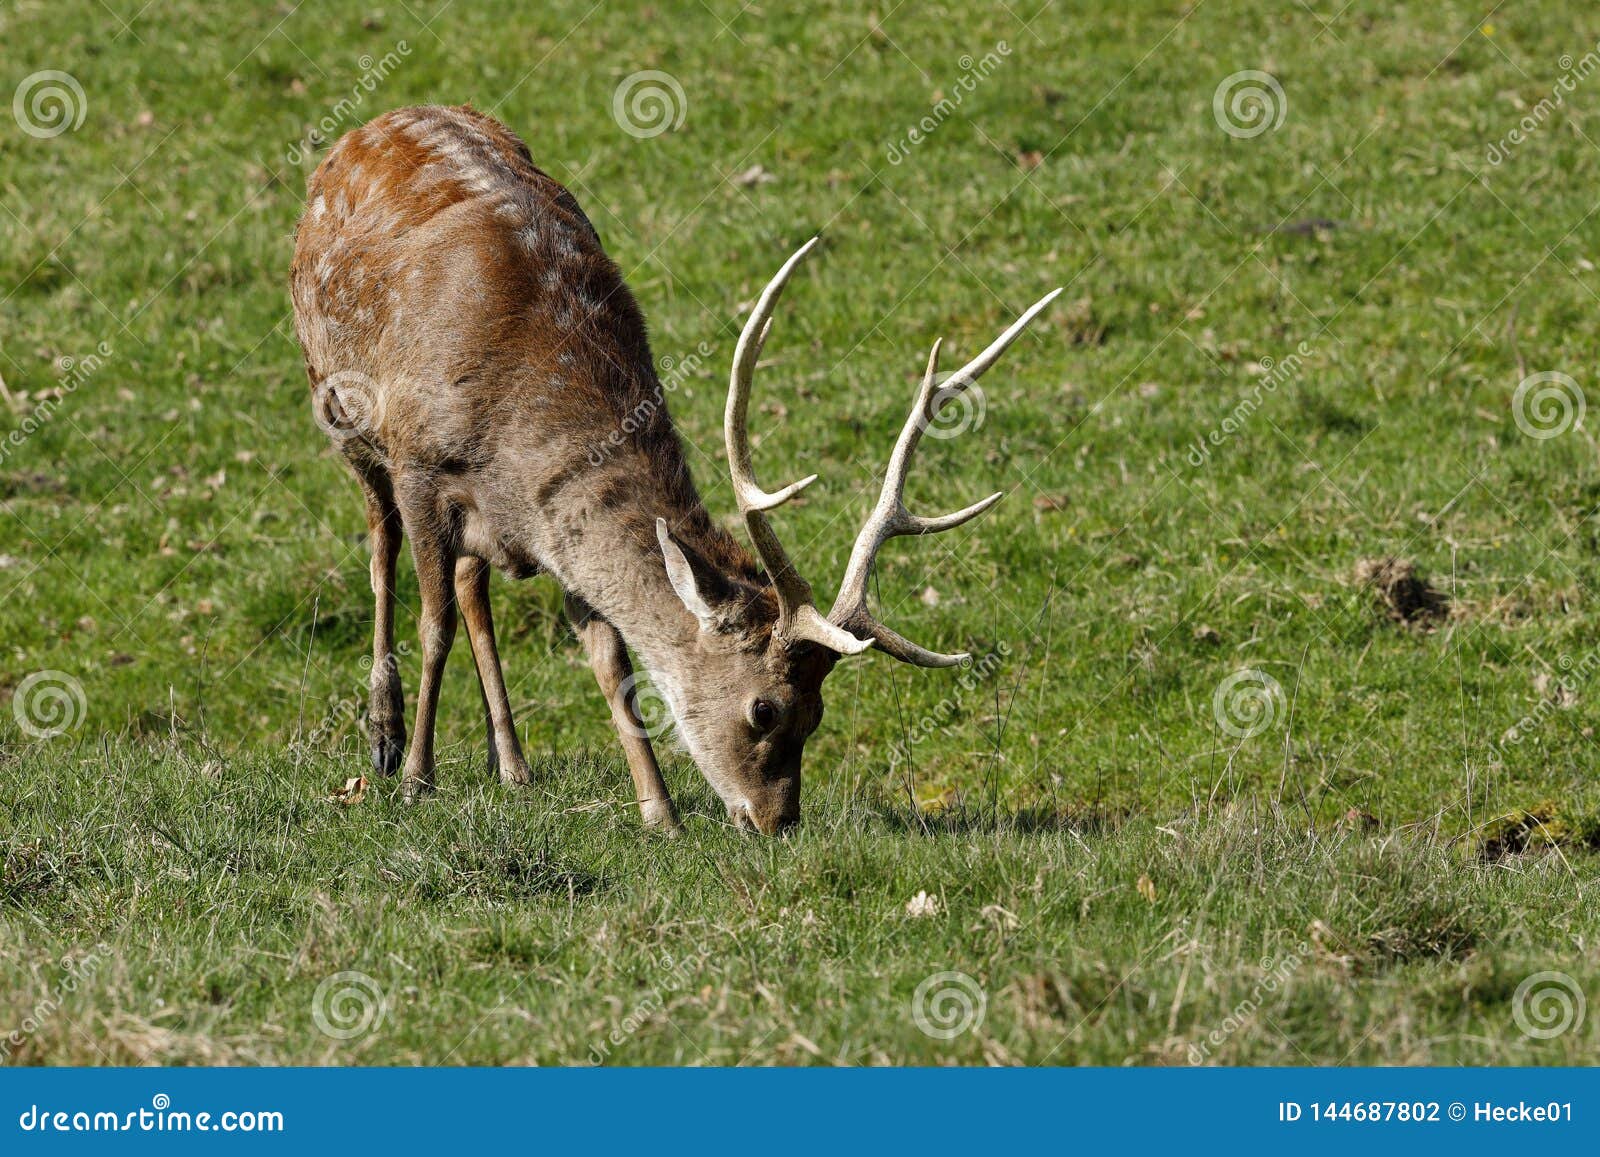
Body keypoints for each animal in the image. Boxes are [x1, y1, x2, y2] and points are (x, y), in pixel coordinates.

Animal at [290, 105, 1058, 835]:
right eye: (765, 709)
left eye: (817, 715)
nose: (779, 820)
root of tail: (365, 130)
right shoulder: (420, 463)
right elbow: (433, 626)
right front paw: (417, 779)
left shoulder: (551, 517)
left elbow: (610, 658)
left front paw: (658, 810)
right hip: (335, 402)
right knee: (382, 544)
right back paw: (386, 736)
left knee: (470, 579)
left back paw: (510, 763)